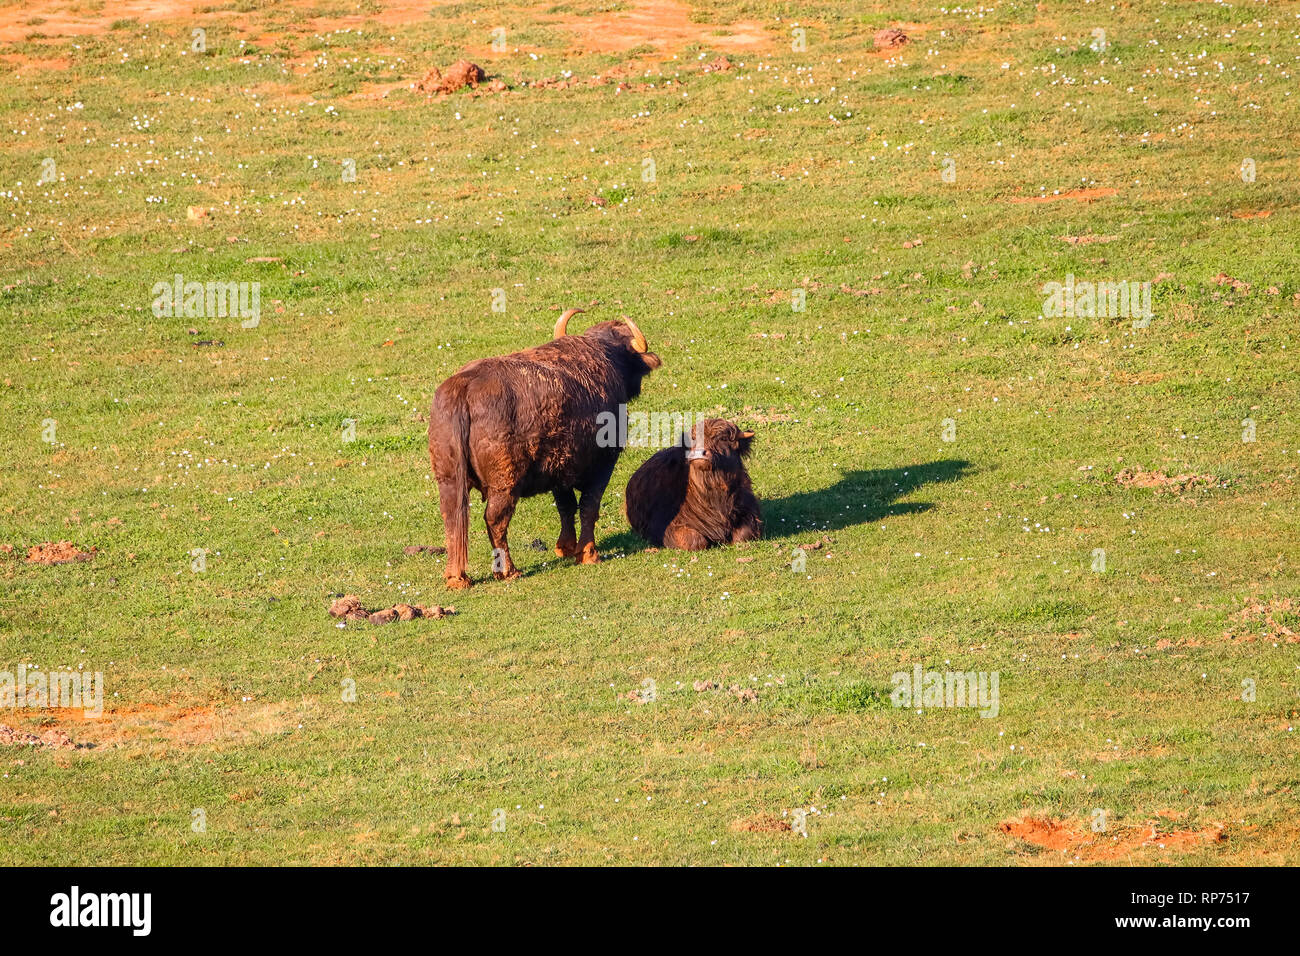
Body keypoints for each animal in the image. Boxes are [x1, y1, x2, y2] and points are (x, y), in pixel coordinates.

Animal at [428, 308, 661, 588]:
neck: (606, 358)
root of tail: (464, 388)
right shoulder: (602, 466)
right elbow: (588, 506)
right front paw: (588, 553)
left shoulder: (559, 473)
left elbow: (566, 506)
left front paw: (565, 548)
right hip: (504, 486)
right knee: (495, 520)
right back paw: (509, 571)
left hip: (449, 481)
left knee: (453, 519)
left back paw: (457, 577)